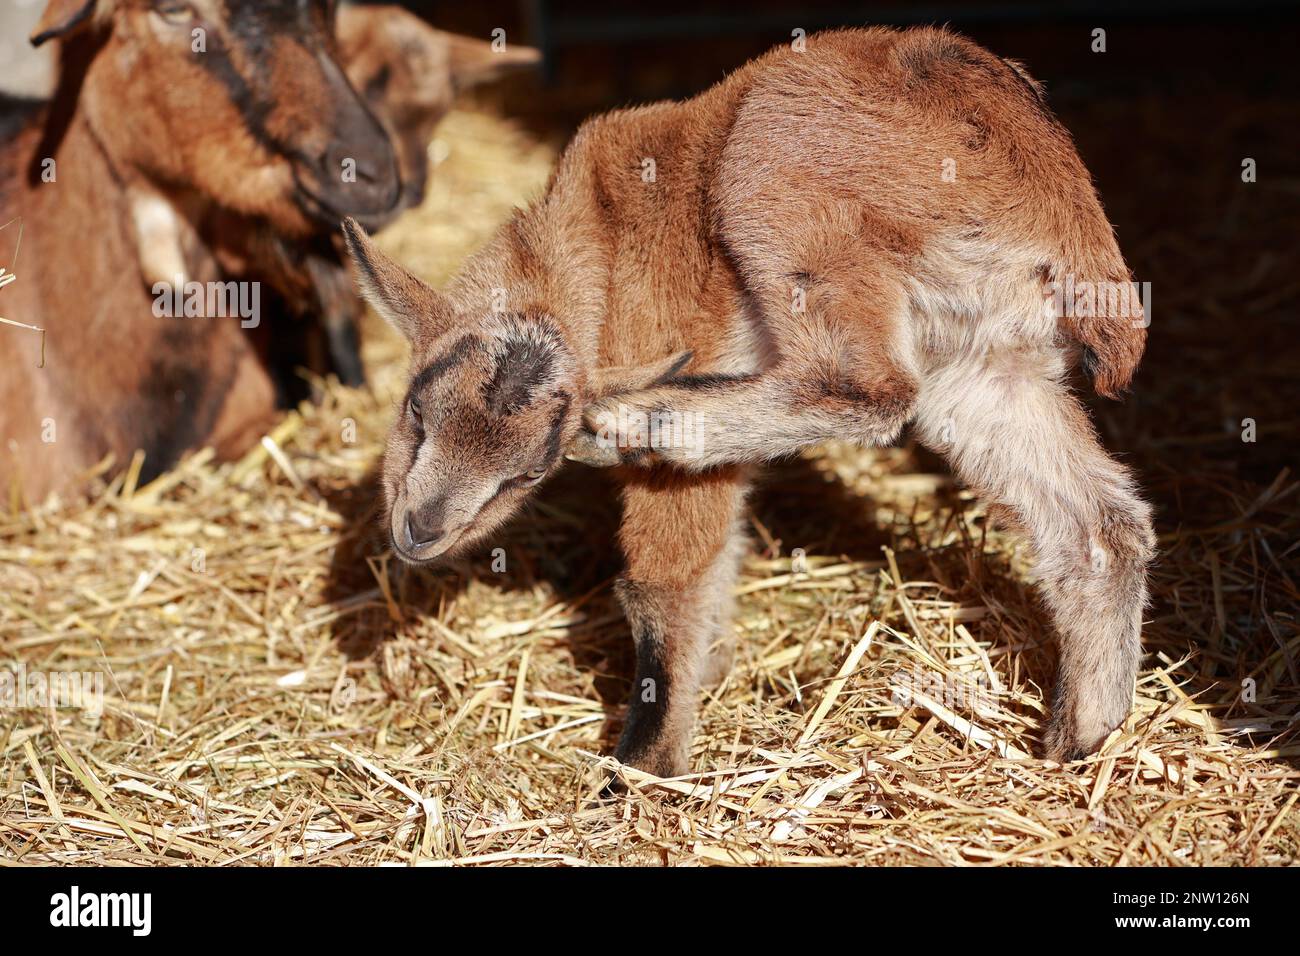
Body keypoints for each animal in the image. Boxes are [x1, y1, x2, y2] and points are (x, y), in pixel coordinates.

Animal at [343, 27, 1155, 776]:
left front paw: (642, 772)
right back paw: (1081, 739)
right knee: (1103, 527)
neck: (601, 235)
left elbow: (665, 583)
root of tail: (1064, 212)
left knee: (867, 388)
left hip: (776, 185)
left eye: (525, 475)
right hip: (986, 369)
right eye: (417, 414)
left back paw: (641, 421)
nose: (419, 531)